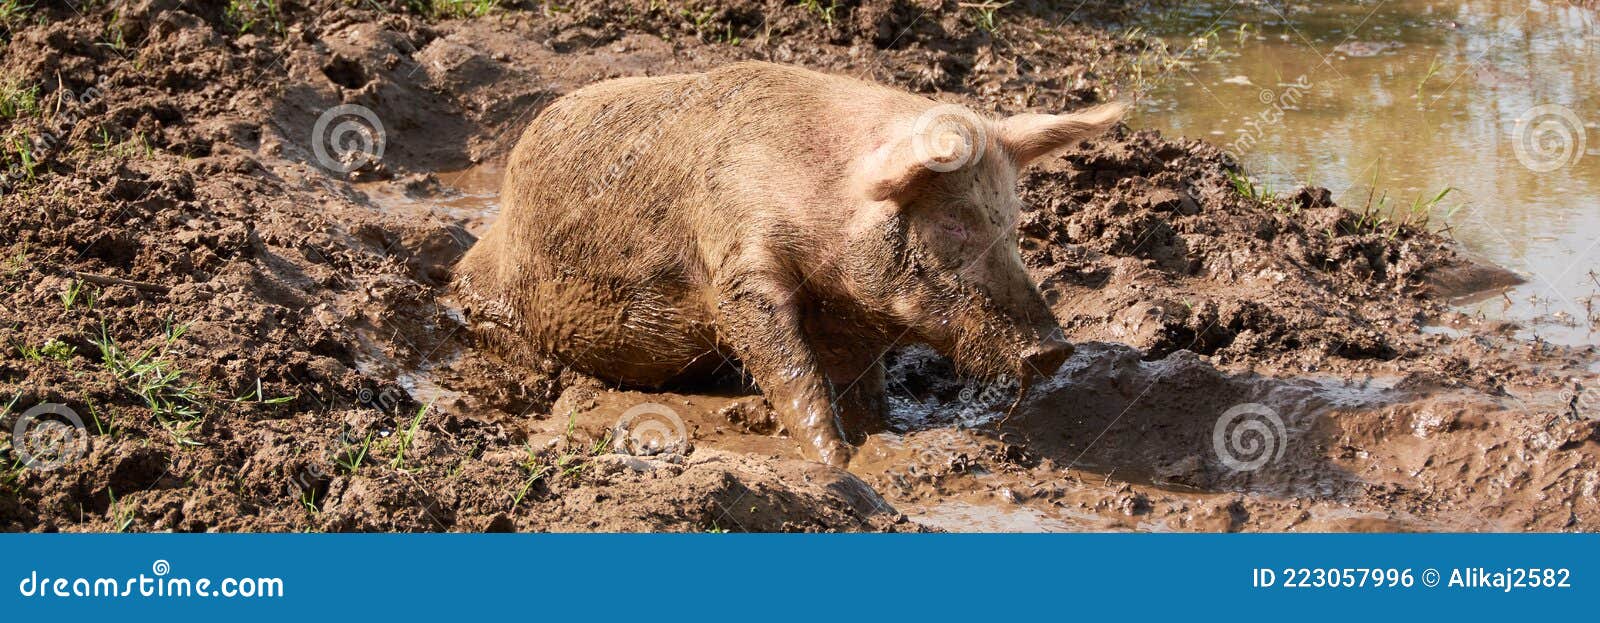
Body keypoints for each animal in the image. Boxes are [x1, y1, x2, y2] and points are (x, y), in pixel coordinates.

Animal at [452, 61, 1125, 467]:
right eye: (955, 222)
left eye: (1012, 224)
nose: (1056, 349)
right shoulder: (739, 264)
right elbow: (787, 363)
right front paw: (838, 463)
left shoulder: (853, 314)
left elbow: (863, 384)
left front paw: (875, 438)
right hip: (488, 296)